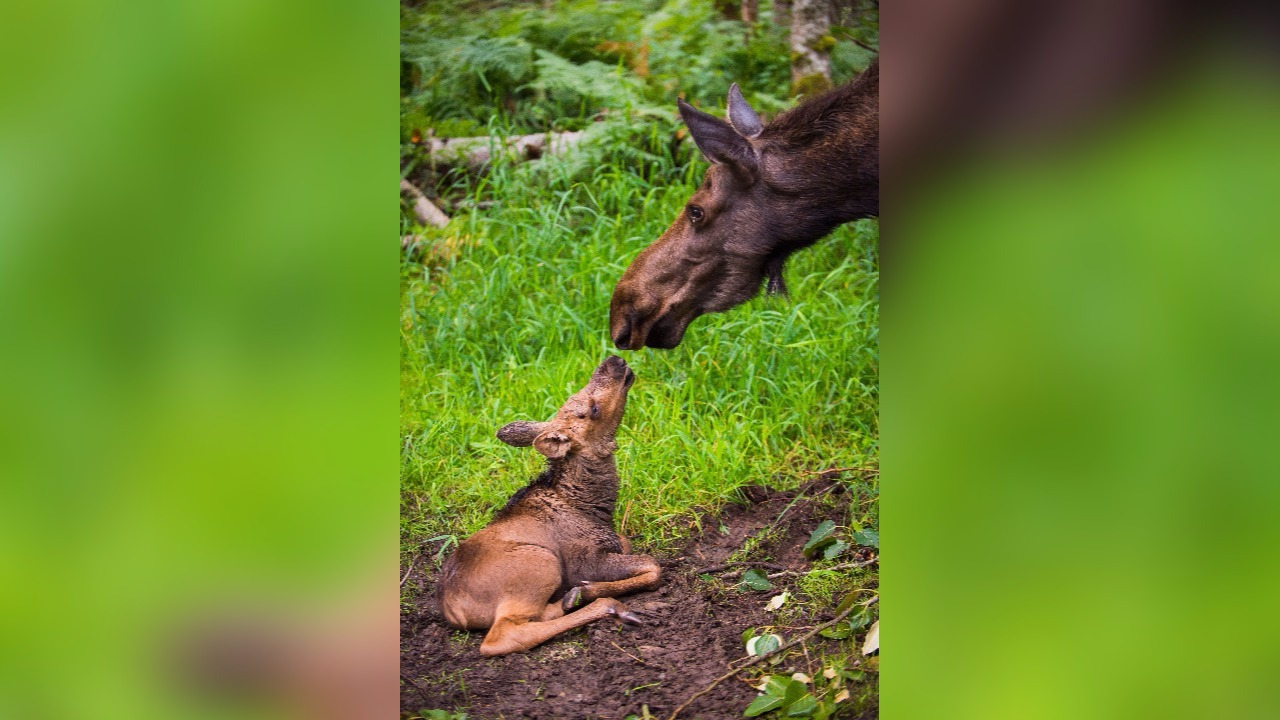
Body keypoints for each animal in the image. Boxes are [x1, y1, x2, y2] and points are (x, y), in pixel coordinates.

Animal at [436, 355, 661, 656]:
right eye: (592, 409)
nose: (614, 360)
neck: (594, 503)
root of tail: (454, 614)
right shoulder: (585, 562)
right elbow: (654, 566)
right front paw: (585, 591)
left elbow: (630, 546)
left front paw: (580, 593)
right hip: (540, 564)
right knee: (504, 635)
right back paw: (601, 605)